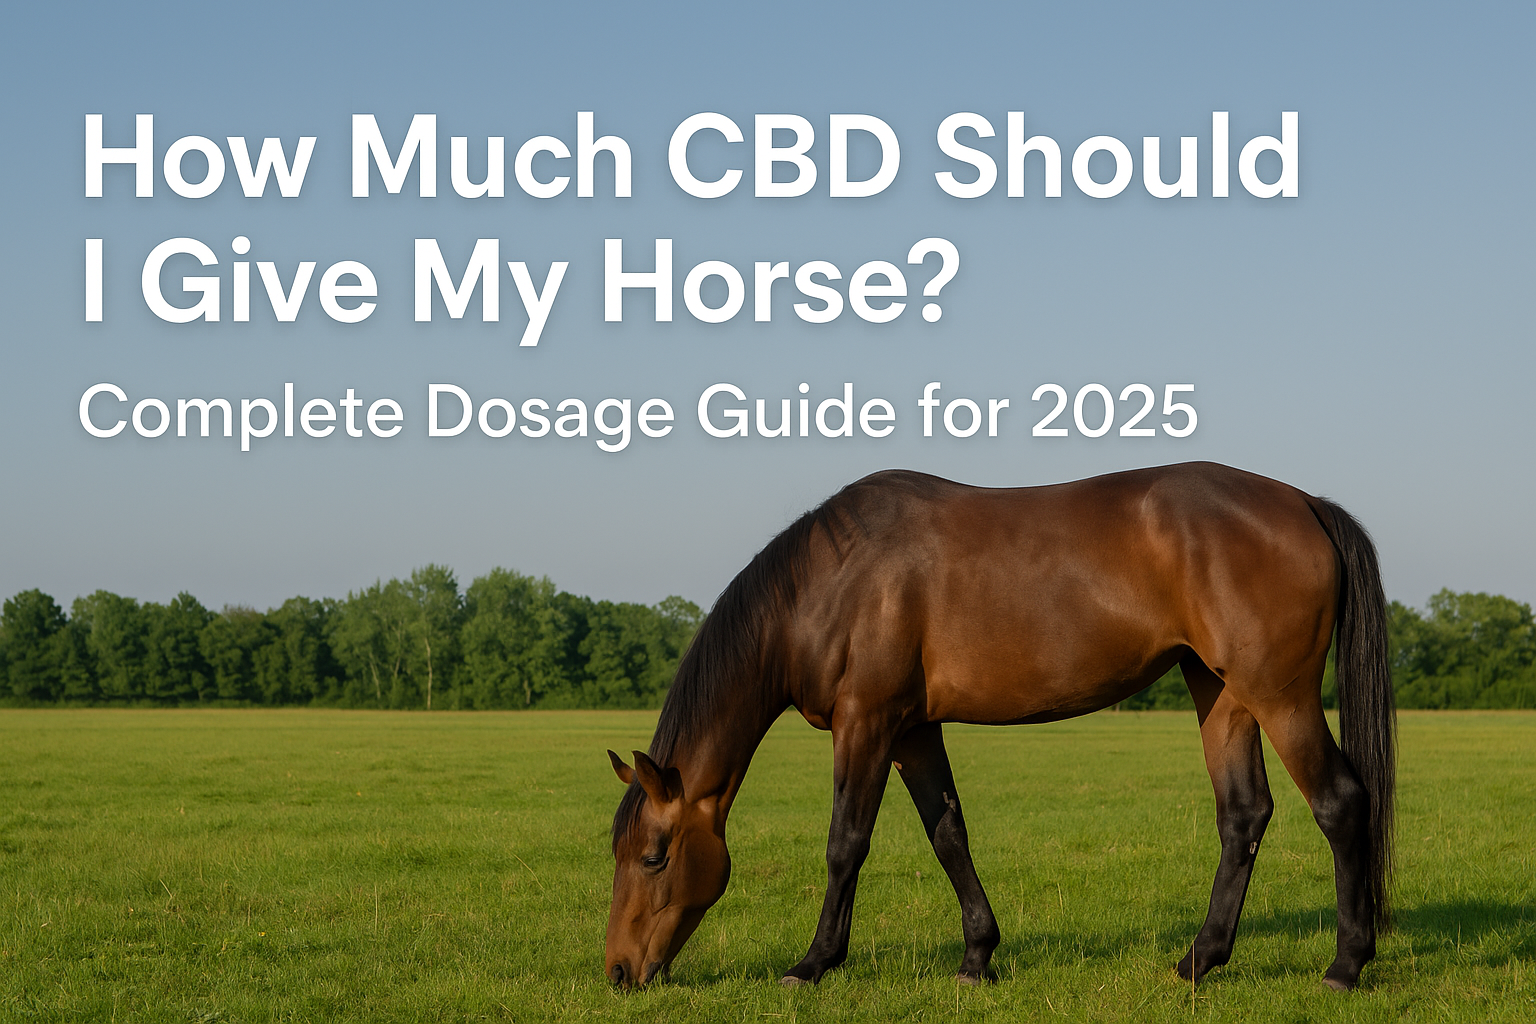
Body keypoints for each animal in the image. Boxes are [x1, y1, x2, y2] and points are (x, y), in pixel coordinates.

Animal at [605, 462, 1394, 992]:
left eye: (654, 856)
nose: (618, 971)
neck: (832, 581)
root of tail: (1304, 504)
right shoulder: (913, 731)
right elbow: (948, 835)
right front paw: (977, 957)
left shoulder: (866, 723)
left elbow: (844, 844)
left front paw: (814, 963)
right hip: (1223, 694)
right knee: (1243, 816)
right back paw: (1200, 959)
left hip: (1280, 695)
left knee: (1340, 804)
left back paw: (1345, 964)